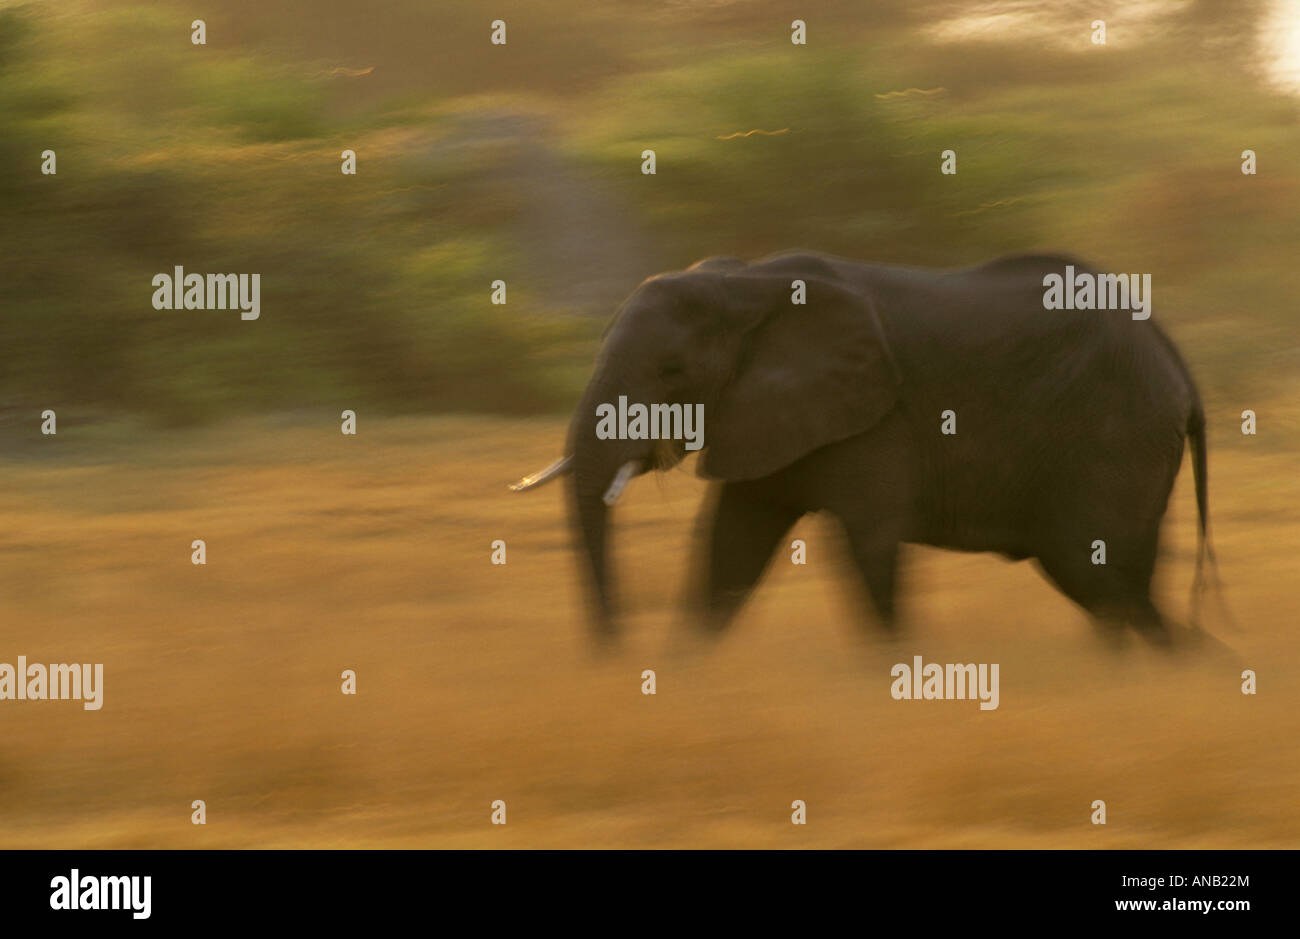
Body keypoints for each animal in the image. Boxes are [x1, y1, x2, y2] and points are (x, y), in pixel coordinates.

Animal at [512, 251, 1218, 649]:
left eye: (672, 371)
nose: (616, 653)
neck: (745, 282)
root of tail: (1179, 362)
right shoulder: (766, 413)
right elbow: (729, 545)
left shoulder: (877, 419)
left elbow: (868, 540)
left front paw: (889, 677)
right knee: (1113, 583)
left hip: (1115, 436)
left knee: (1100, 573)